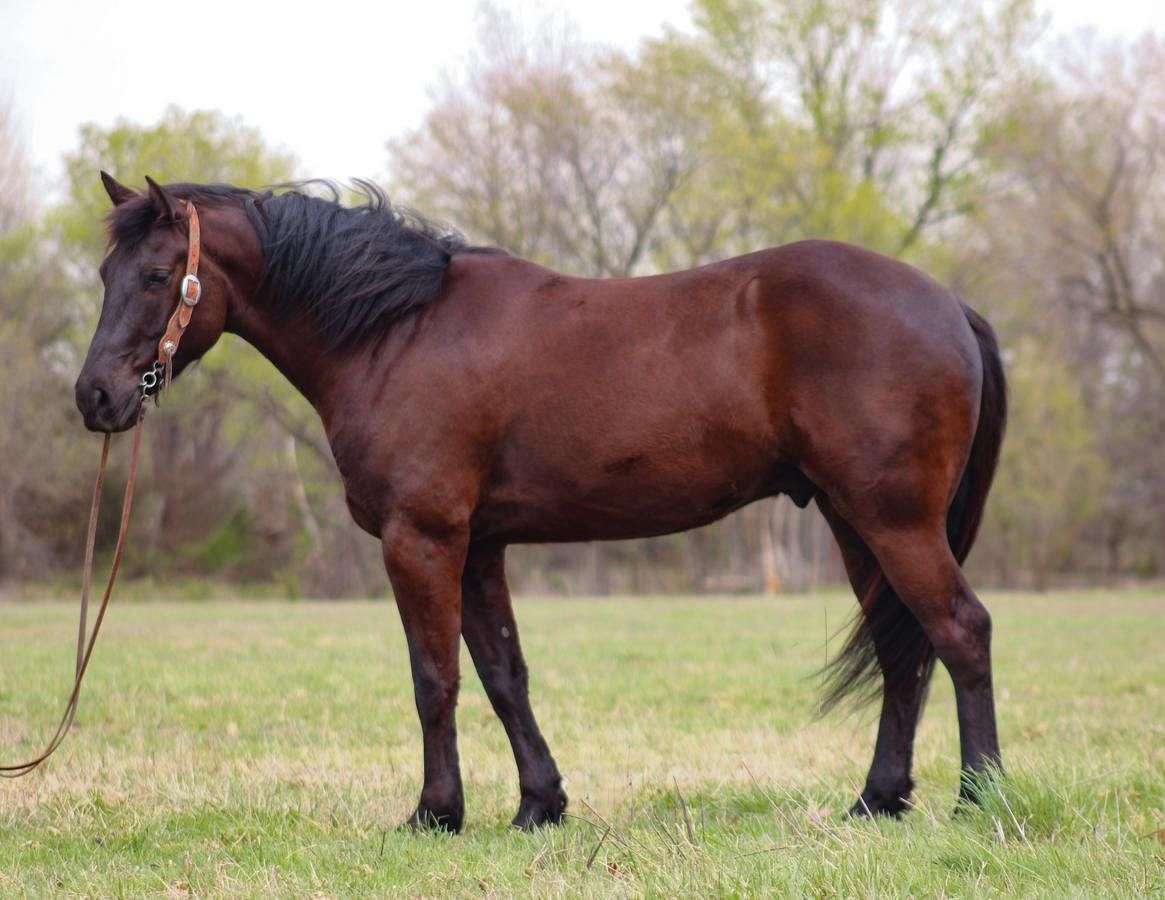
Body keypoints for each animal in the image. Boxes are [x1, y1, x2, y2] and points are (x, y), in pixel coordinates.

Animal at [76, 173, 1006, 832]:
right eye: (102, 274)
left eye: (157, 274)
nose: (95, 399)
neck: (396, 333)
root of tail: (948, 303)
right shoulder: (479, 545)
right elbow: (502, 674)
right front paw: (538, 804)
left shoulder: (421, 538)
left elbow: (434, 677)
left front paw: (435, 813)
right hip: (856, 525)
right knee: (903, 650)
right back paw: (877, 801)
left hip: (892, 521)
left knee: (959, 631)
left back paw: (979, 799)